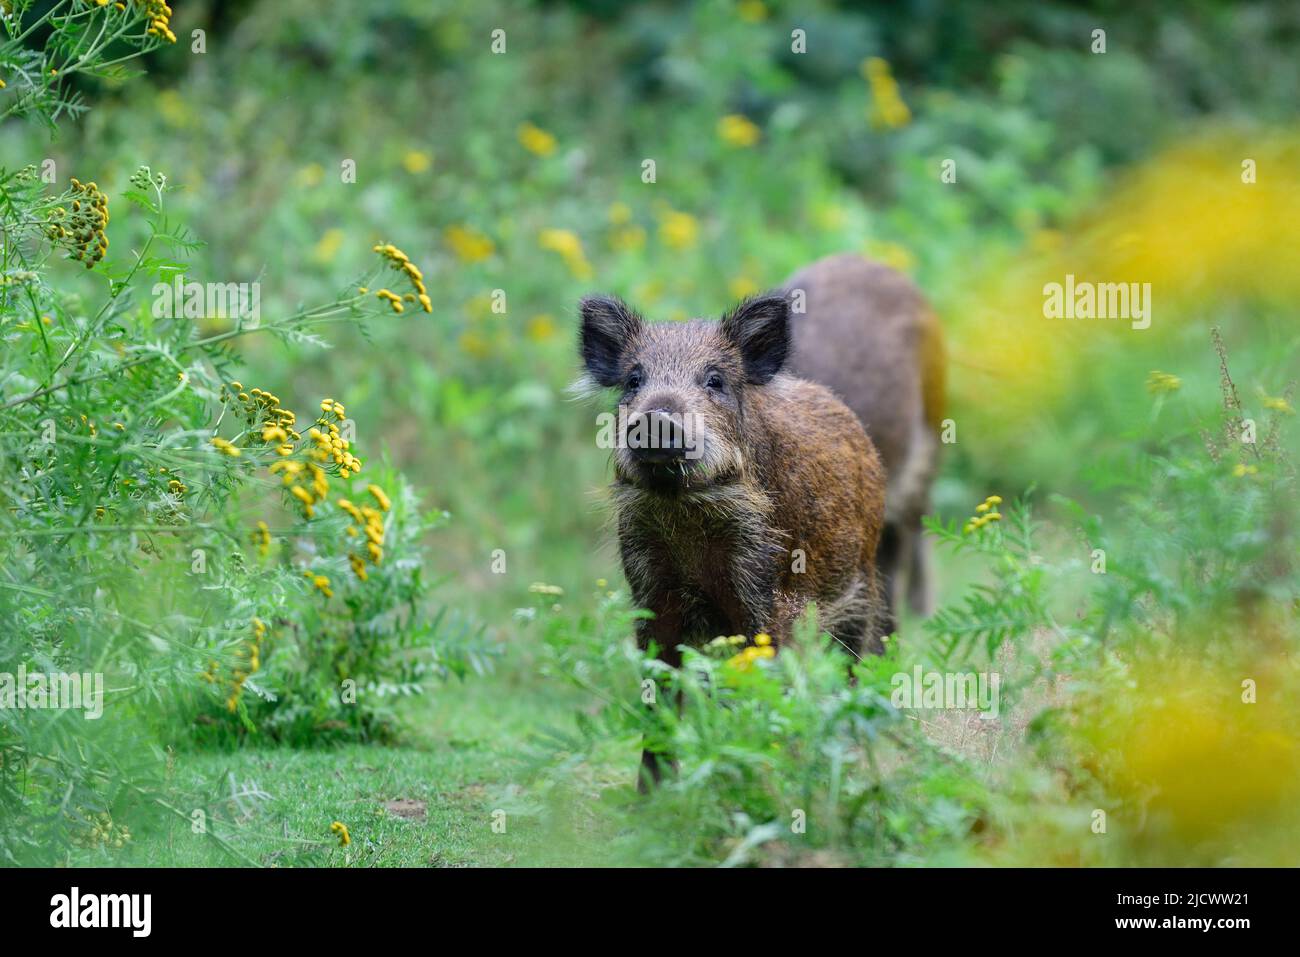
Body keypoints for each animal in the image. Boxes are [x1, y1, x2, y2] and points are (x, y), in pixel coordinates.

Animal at [576, 292, 888, 785]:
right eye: (633, 379)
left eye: (715, 380)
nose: (657, 419)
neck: (687, 519)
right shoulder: (650, 588)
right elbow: (659, 693)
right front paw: (651, 795)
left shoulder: (770, 591)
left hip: (861, 590)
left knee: (849, 666)